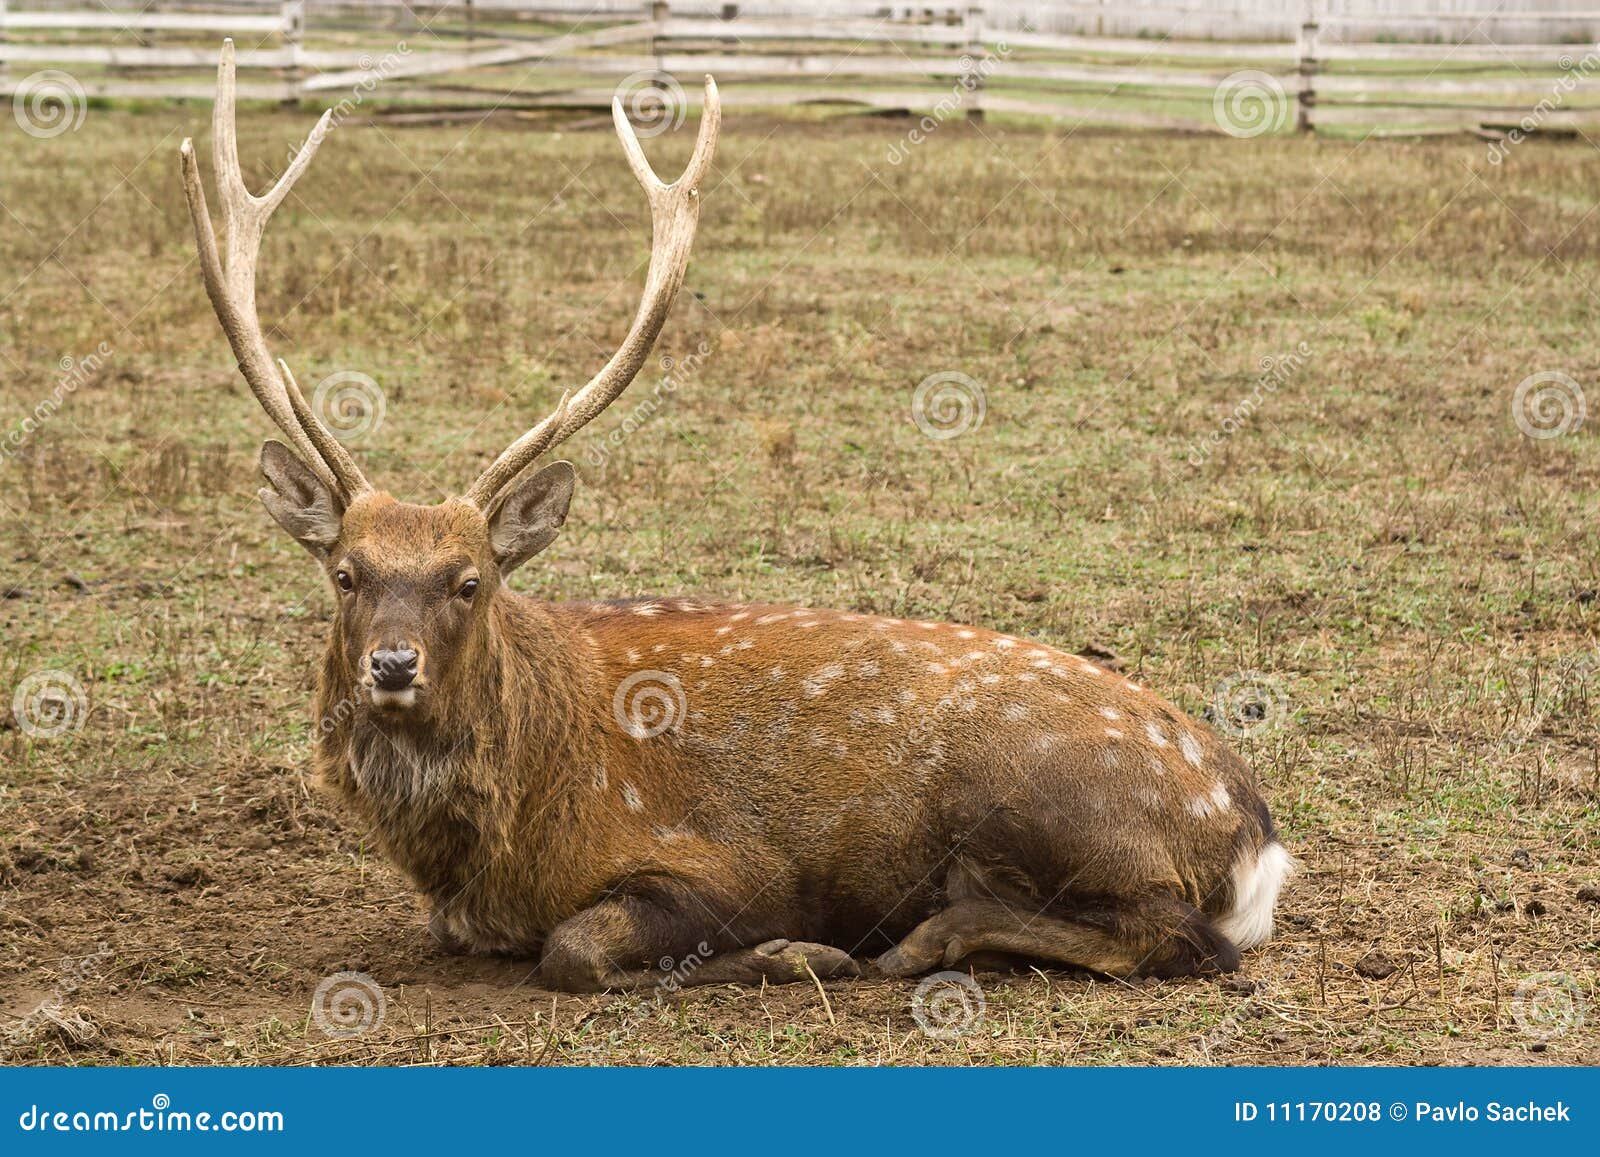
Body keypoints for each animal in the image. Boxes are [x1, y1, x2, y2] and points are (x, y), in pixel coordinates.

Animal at [181, 42, 1292, 993]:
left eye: (470, 579)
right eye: (345, 572)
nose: (392, 663)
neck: (502, 835)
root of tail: (1253, 831)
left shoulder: (724, 861)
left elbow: (577, 947)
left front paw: (797, 952)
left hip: (1038, 799)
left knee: (1185, 940)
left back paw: (926, 936)